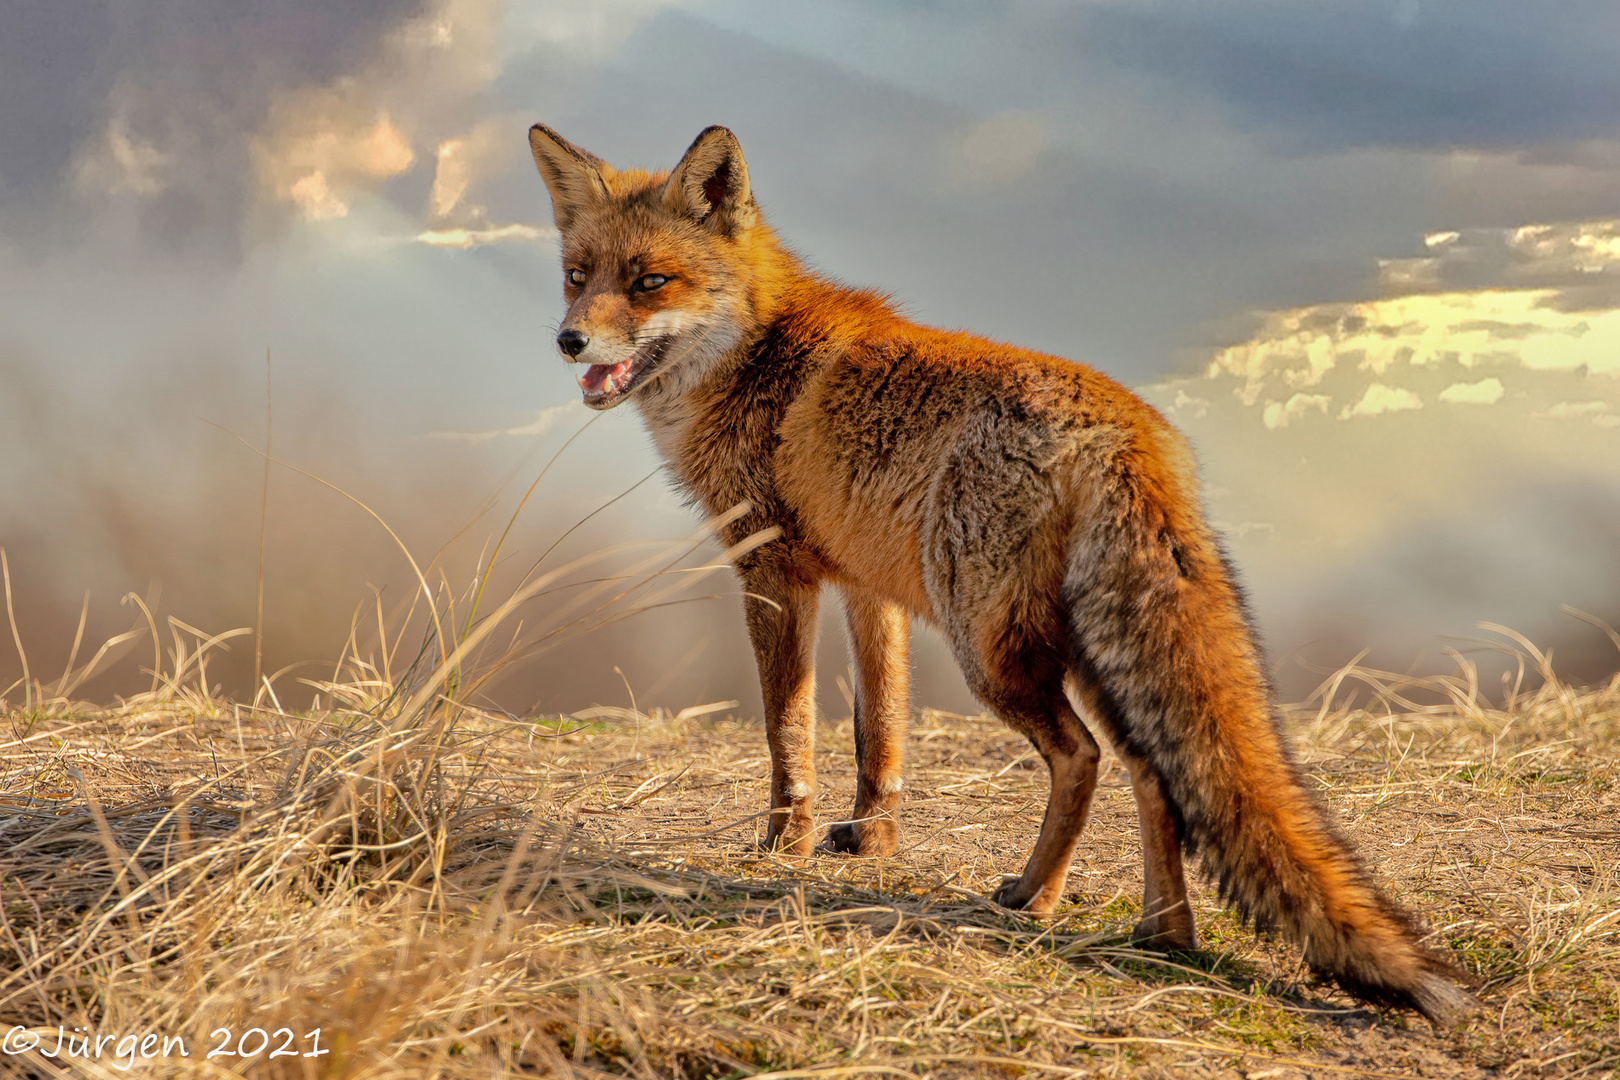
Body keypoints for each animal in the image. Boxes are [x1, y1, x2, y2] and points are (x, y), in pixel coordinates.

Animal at [526, 122, 1479, 1026]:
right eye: (576, 276)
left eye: (650, 282)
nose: (569, 341)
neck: (756, 354)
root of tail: (1130, 432)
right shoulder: (869, 587)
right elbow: (881, 733)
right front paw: (873, 842)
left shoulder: (773, 570)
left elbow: (786, 732)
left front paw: (780, 848)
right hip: (1081, 651)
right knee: (1153, 776)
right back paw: (1161, 933)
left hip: (990, 649)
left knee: (1082, 759)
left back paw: (1036, 897)